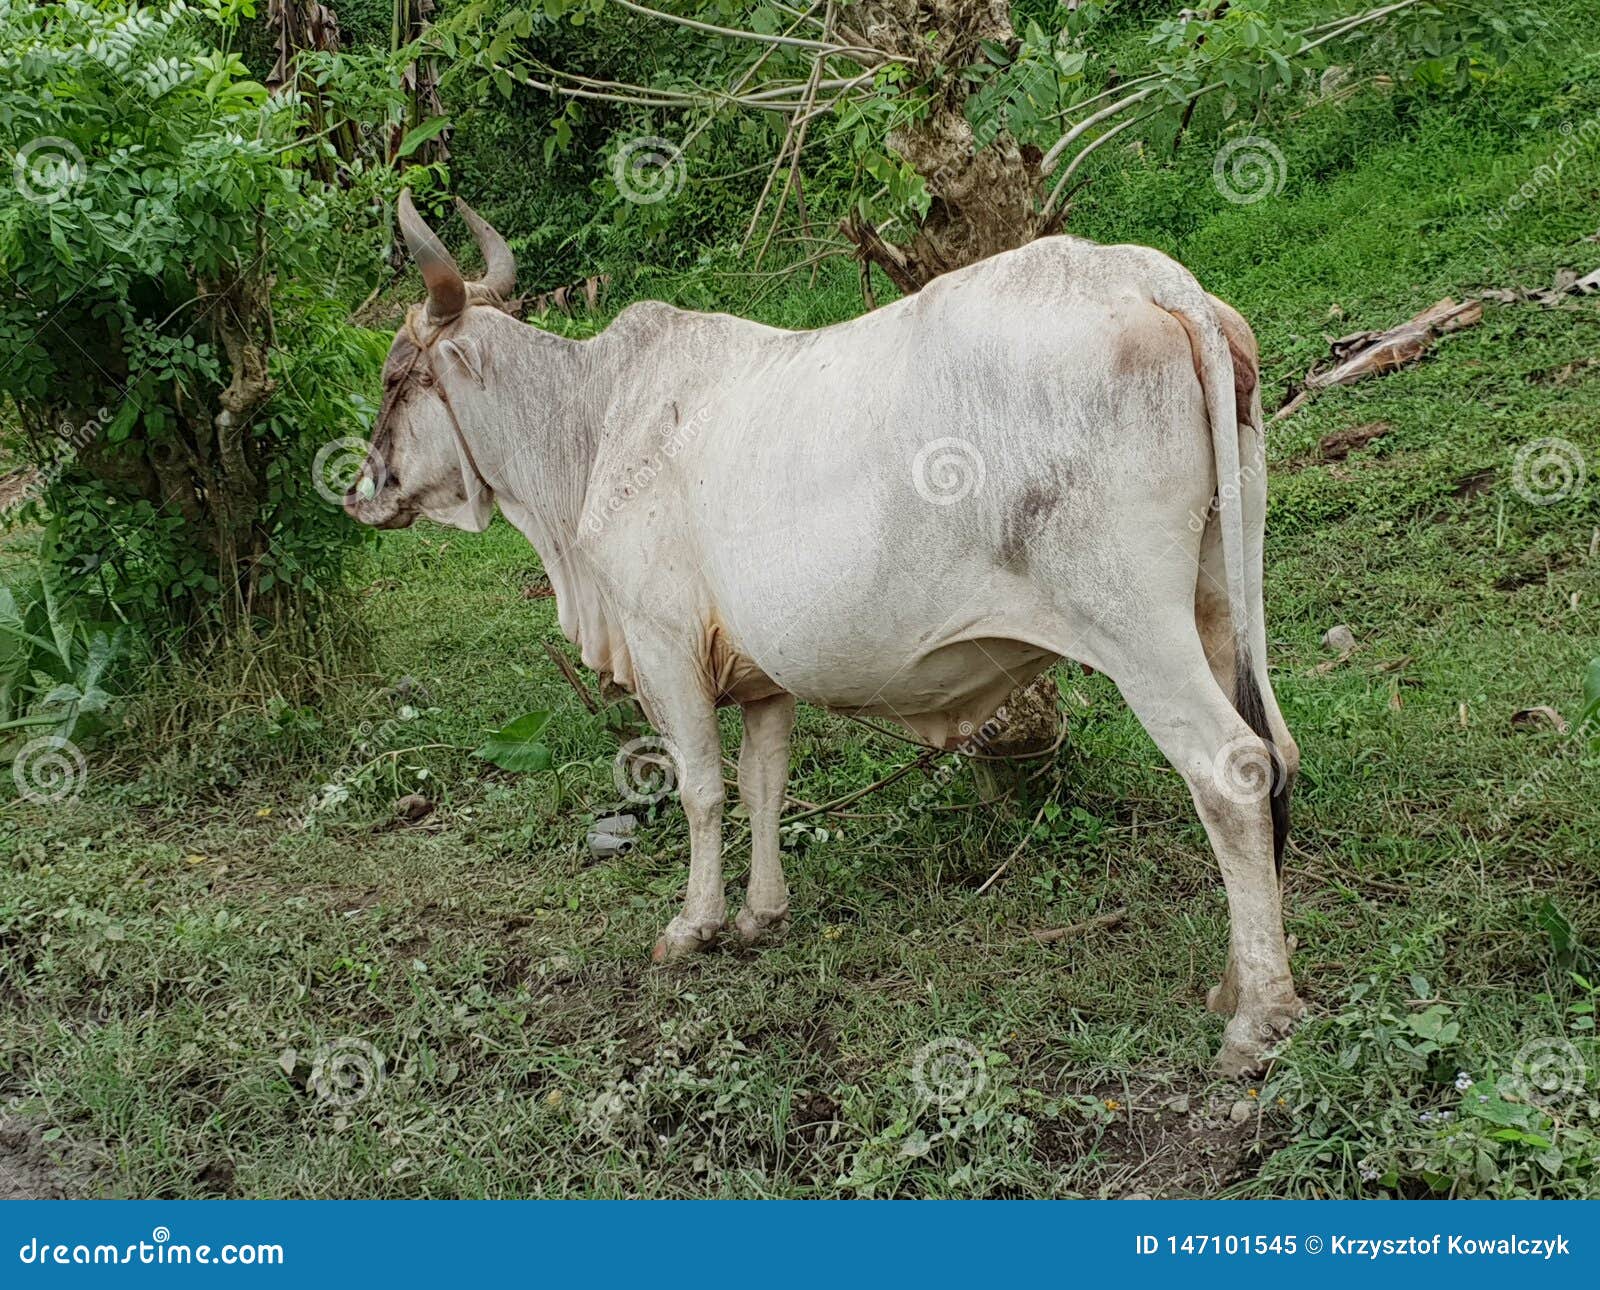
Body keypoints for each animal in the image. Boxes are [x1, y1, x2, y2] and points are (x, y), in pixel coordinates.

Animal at [345, 191, 1303, 1074]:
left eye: (395, 377)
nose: (359, 491)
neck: (591, 425)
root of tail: (1149, 278)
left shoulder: (663, 646)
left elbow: (702, 790)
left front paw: (693, 925)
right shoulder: (761, 675)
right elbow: (764, 784)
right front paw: (761, 914)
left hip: (1133, 624)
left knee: (1231, 769)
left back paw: (1256, 1023)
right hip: (1221, 603)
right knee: (1273, 751)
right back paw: (1234, 985)